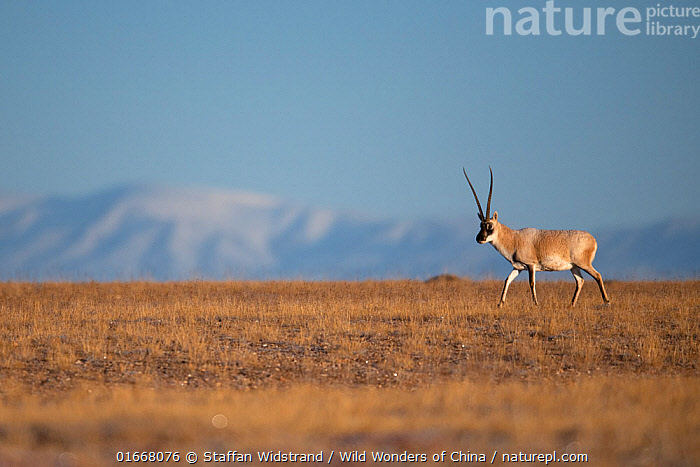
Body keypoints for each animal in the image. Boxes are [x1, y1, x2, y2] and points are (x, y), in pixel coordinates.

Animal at [463, 167, 610, 307]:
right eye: (480, 225)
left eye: (490, 226)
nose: (479, 239)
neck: (514, 238)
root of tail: (593, 240)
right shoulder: (518, 267)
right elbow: (507, 280)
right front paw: (500, 304)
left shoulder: (530, 265)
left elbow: (532, 283)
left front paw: (536, 303)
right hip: (574, 266)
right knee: (580, 281)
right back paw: (572, 304)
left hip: (583, 264)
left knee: (597, 276)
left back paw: (606, 301)